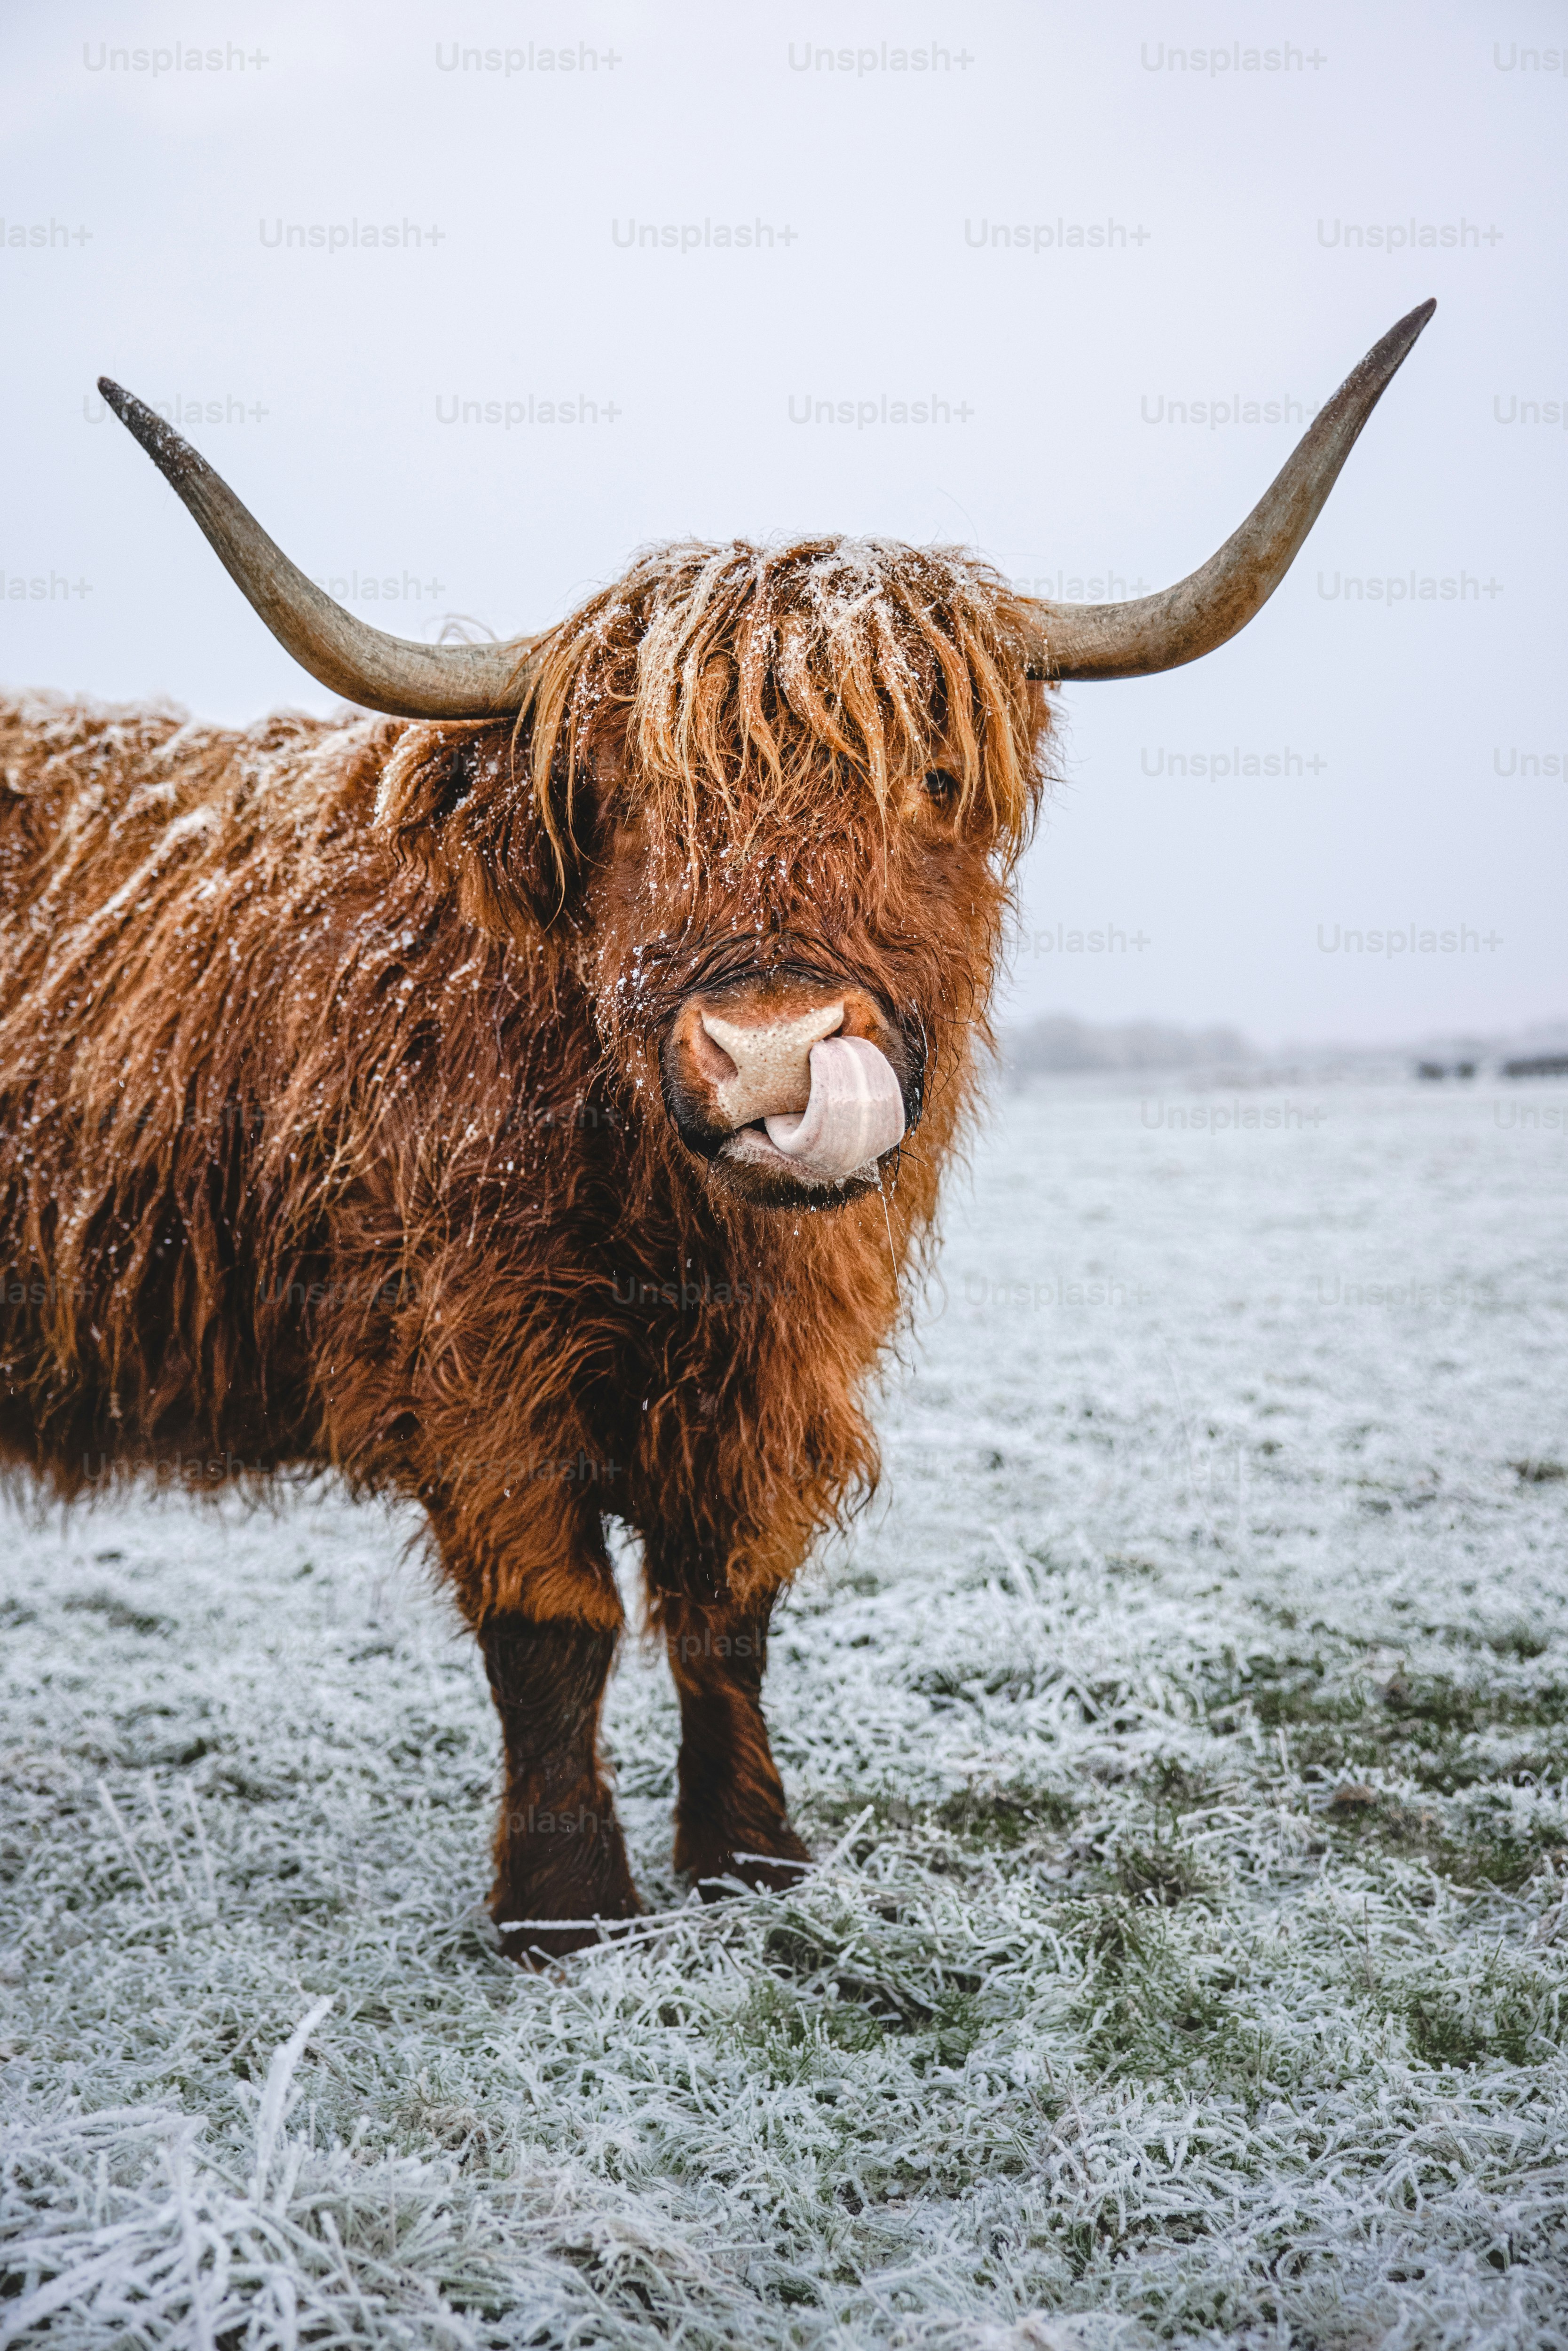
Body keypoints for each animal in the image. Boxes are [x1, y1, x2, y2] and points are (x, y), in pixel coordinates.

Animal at [0, 304, 1432, 1958]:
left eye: (933, 777)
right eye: (613, 801)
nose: (771, 1053)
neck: (676, 1227)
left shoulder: (768, 1377)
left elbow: (725, 1615)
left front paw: (751, 1859)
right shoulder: (473, 1357)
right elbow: (553, 1628)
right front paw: (562, 1910)